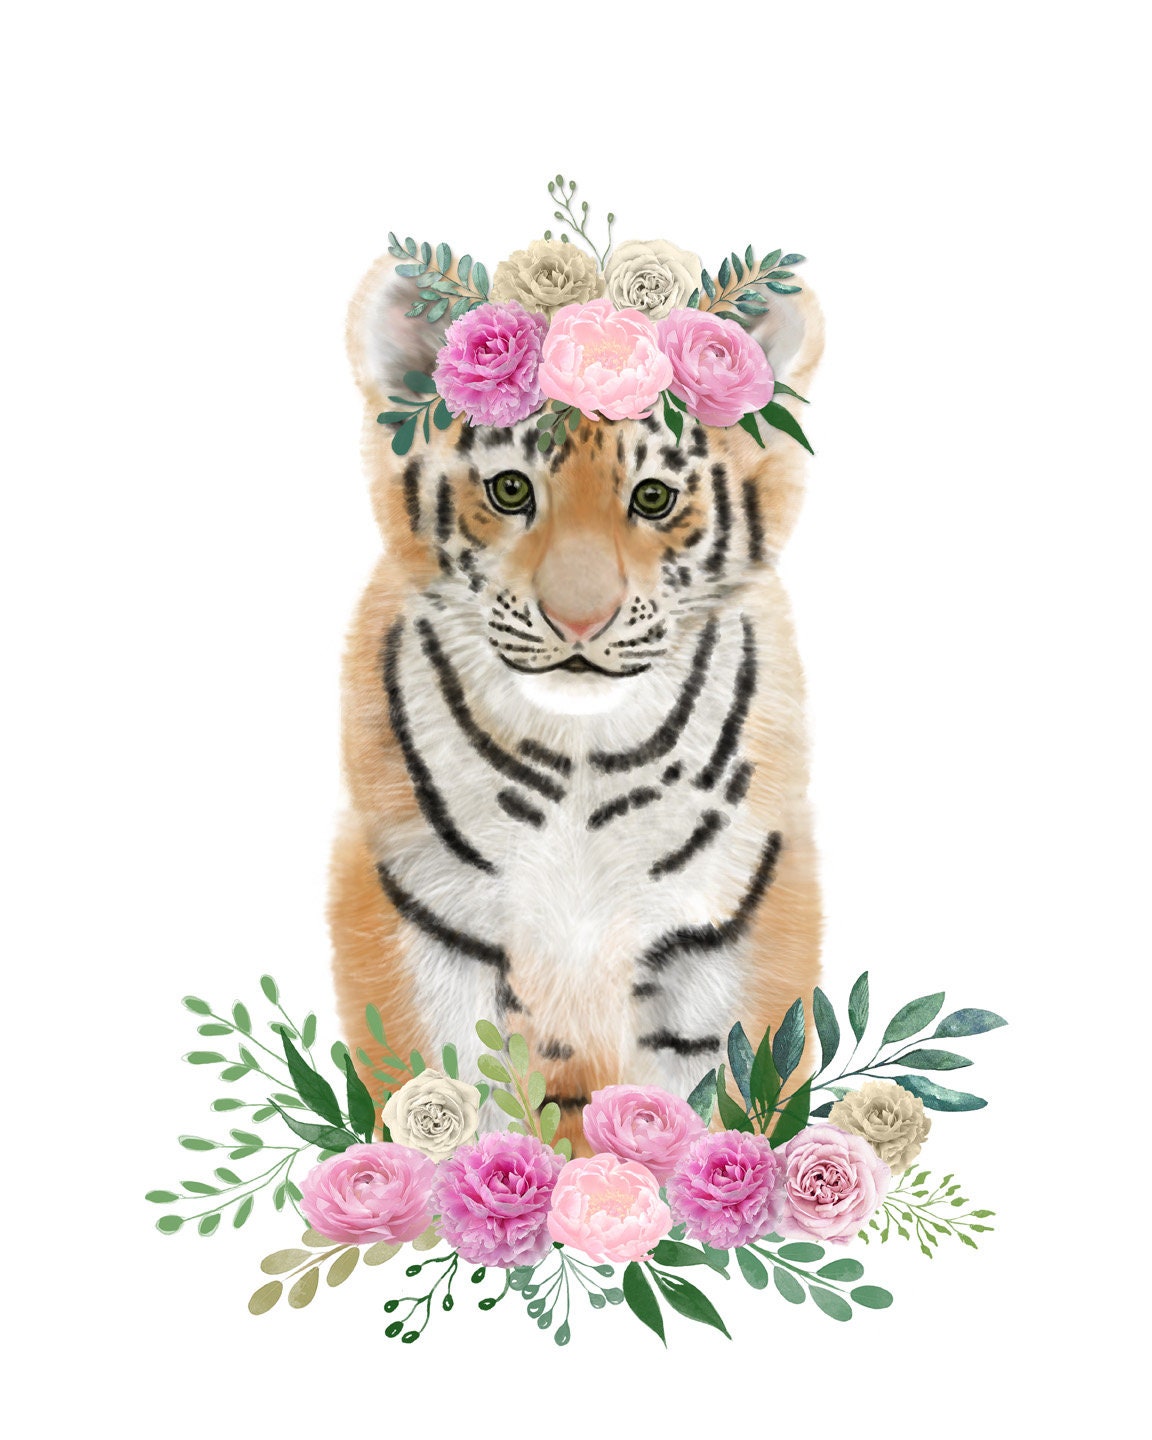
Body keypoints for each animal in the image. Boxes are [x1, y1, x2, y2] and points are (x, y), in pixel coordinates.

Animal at [330, 250, 825, 1154]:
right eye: (510, 490)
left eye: (654, 498)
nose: (579, 619)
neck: (579, 751)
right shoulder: (421, 923)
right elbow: (446, 1095)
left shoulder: (724, 935)